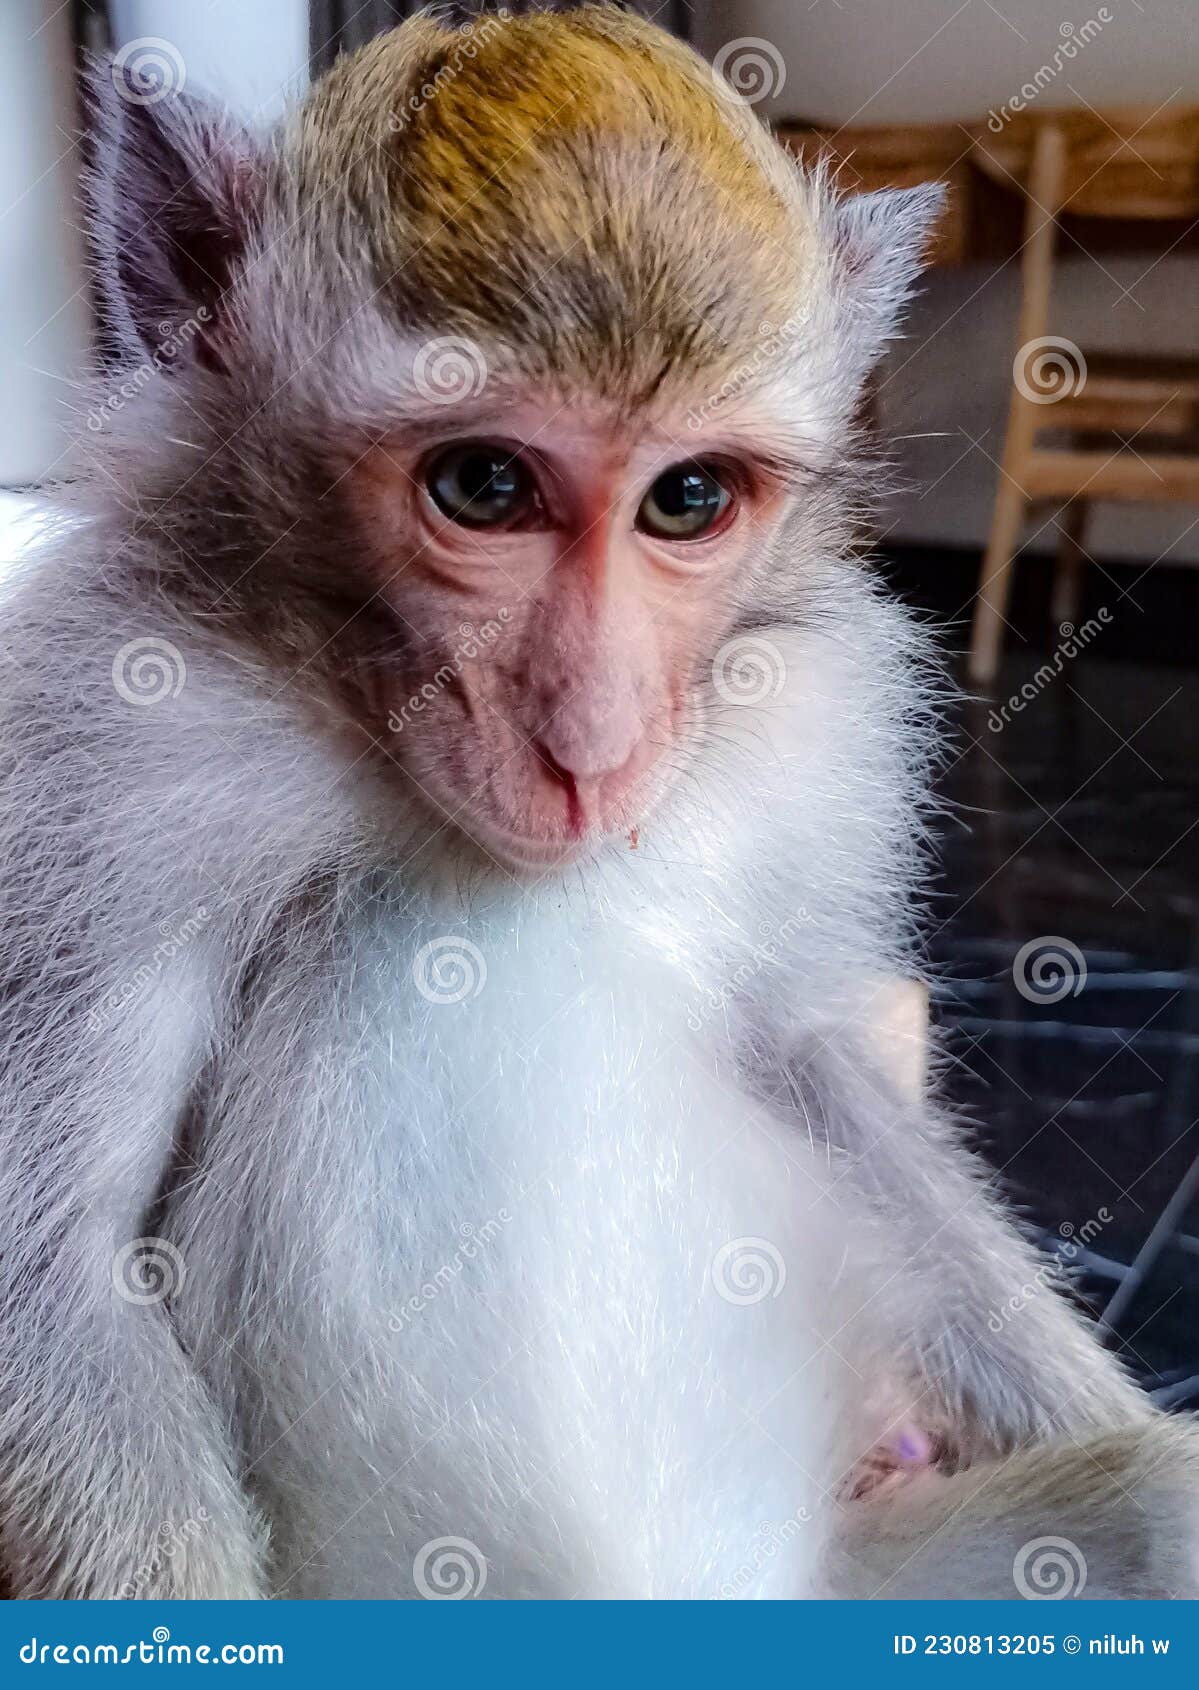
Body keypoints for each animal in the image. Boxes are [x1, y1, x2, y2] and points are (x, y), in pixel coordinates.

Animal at [0, 4, 1196, 1600]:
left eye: (685, 500)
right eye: (482, 484)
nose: (595, 737)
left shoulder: (813, 724)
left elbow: (806, 1049)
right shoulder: (113, 751)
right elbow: (55, 1270)